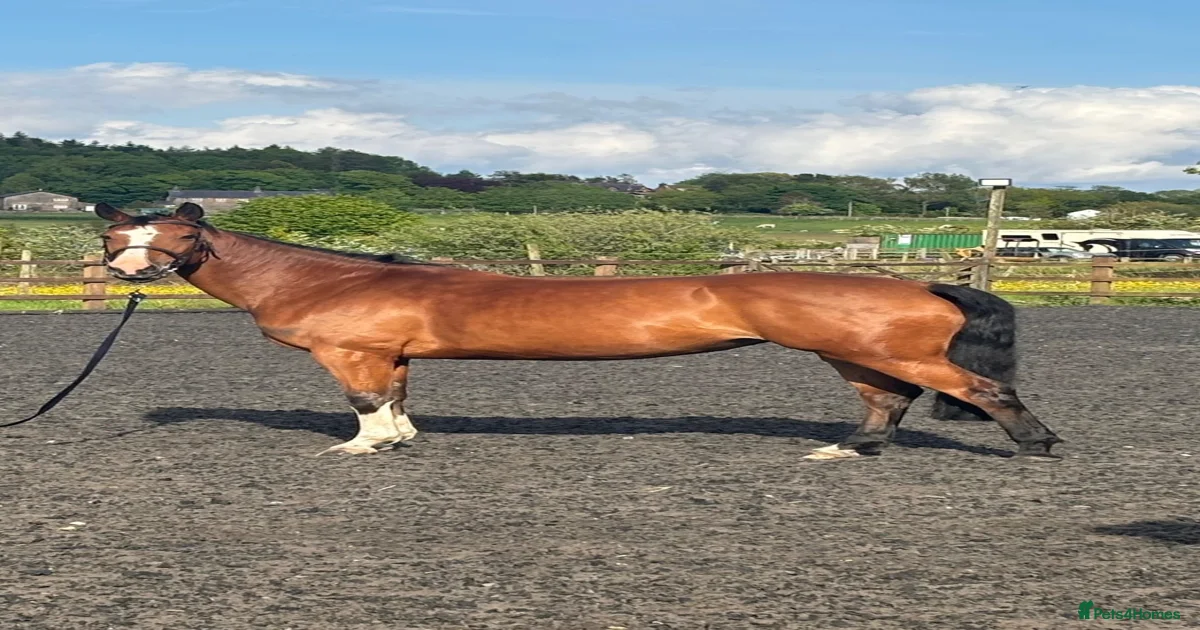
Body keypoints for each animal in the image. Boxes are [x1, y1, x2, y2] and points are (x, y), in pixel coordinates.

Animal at [94, 202, 1063, 461]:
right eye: (115, 238)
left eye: (172, 239)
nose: (128, 273)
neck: (331, 274)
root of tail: (926, 279)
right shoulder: (393, 352)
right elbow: (399, 399)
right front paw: (401, 439)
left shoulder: (353, 354)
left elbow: (365, 405)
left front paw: (359, 449)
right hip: (854, 353)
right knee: (884, 404)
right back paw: (845, 450)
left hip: (885, 350)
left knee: (982, 390)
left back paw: (1038, 444)